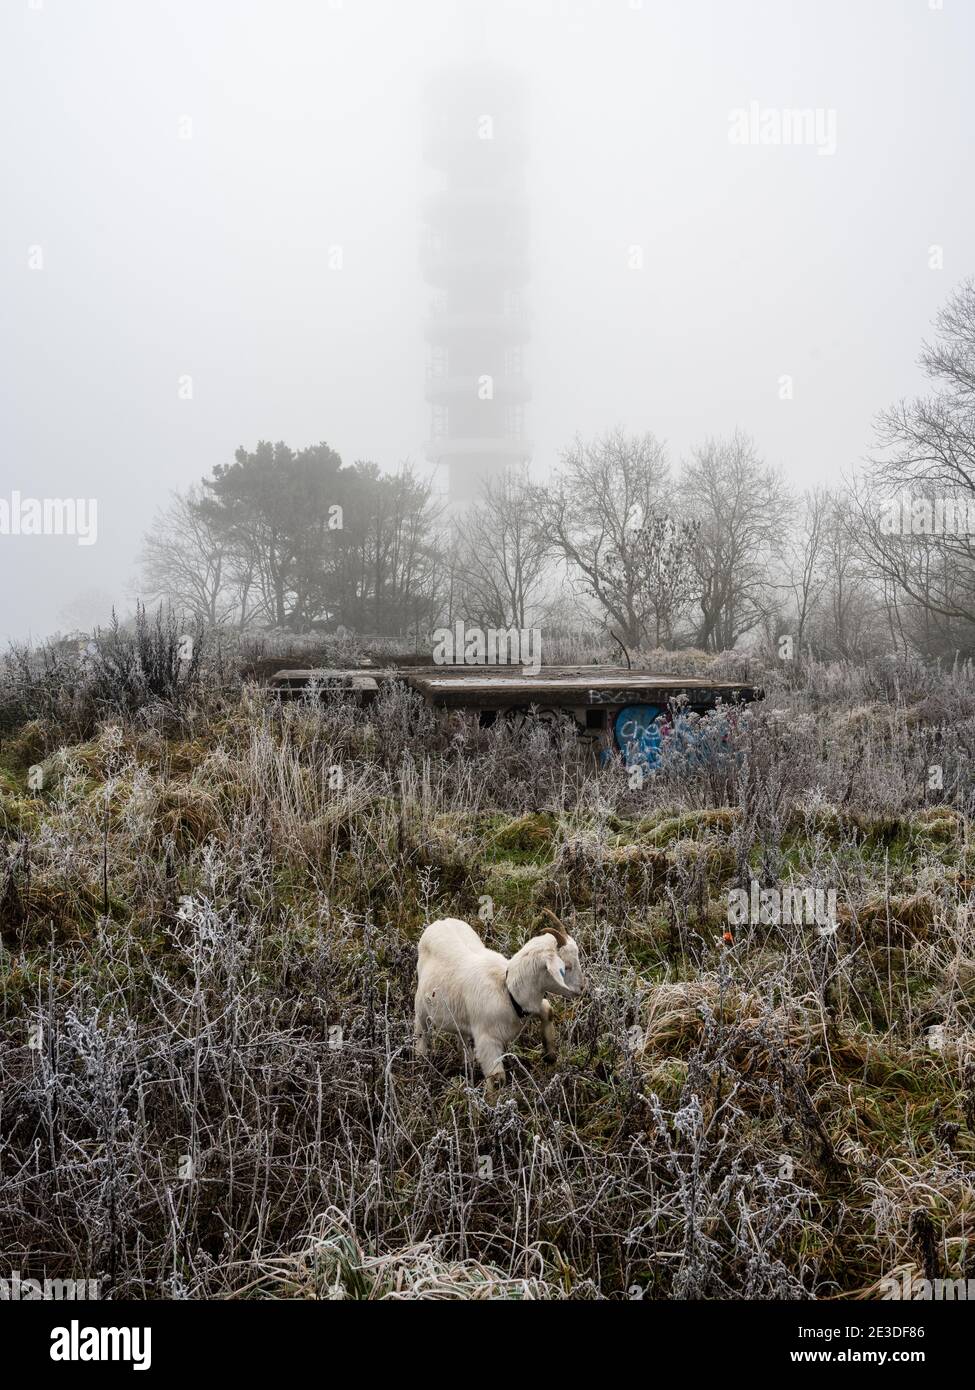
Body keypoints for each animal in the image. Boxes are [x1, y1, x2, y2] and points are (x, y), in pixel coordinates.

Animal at [414, 908, 582, 1095]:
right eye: (566, 966)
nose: (582, 989)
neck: (507, 989)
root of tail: (441, 921)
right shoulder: (487, 1040)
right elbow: (497, 1080)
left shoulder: (529, 1006)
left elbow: (547, 1010)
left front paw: (550, 1055)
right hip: (421, 1005)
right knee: (421, 1029)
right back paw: (421, 1061)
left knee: (462, 1037)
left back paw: (467, 1062)